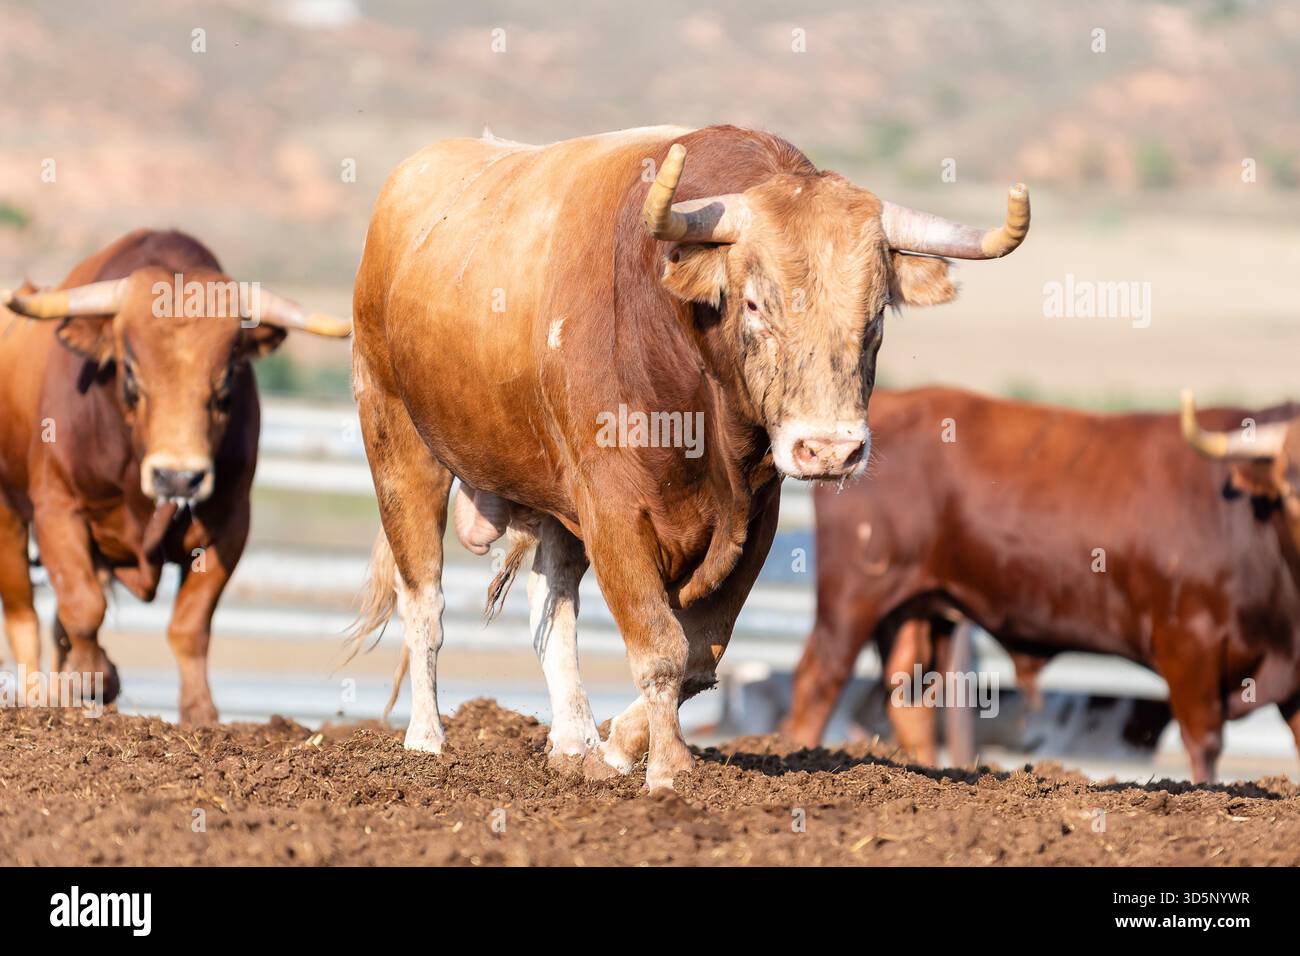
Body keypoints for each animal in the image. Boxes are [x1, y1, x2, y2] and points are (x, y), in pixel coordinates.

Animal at [0, 229, 349, 721]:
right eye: (130, 375)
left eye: (227, 383)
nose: (178, 479)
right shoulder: (57, 508)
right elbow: (82, 605)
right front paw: (92, 676)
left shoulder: (230, 524)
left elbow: (190, 622)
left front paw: (199, 710)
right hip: (8, 515)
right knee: (23, 616)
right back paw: (36, 697)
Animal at [347, 125, 1029, 794]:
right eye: (753, 304)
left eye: (876, 313)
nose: (831, 449)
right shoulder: (615, 515)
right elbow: (659, 647)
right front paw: (669, 769)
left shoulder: (755, 524)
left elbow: (700, 656)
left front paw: (616, 751)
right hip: (398, 444)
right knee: (425, 604)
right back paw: (426, 741)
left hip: (550, 497)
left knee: (553, 606)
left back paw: (573, 744)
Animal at [785, 386, 1300, 783]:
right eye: (1290, 485)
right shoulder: (1188, 650)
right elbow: (1204, 747)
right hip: (852, 599)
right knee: (816, 685)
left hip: (920, 606)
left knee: (910, 700)